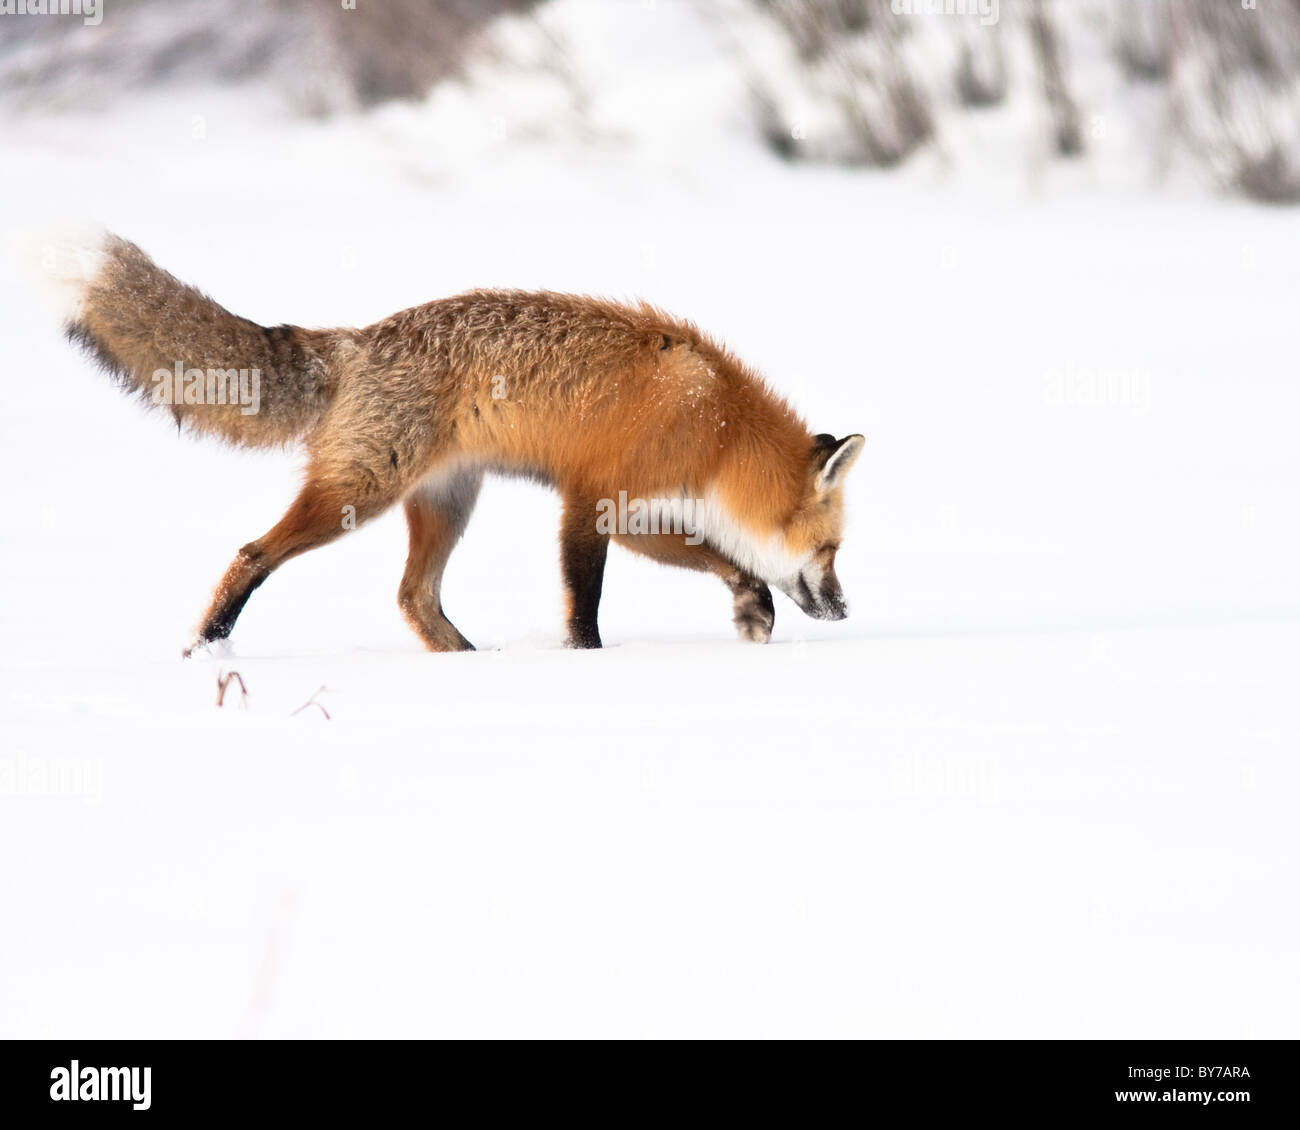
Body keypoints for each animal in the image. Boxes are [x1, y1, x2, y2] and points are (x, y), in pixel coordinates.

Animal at [61, 234, 865, 653]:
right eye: (831, 551)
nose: (845, 610)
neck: (717, 425)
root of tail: (358, 340)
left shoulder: (636, 512)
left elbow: (724, 558)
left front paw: (753, 609)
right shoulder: (593, 503)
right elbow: (587, 604)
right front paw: (591, 663)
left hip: (447, 502)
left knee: (414, 597)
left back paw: (466, 667)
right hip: (360, 494)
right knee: (253, 554)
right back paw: (210, 643)